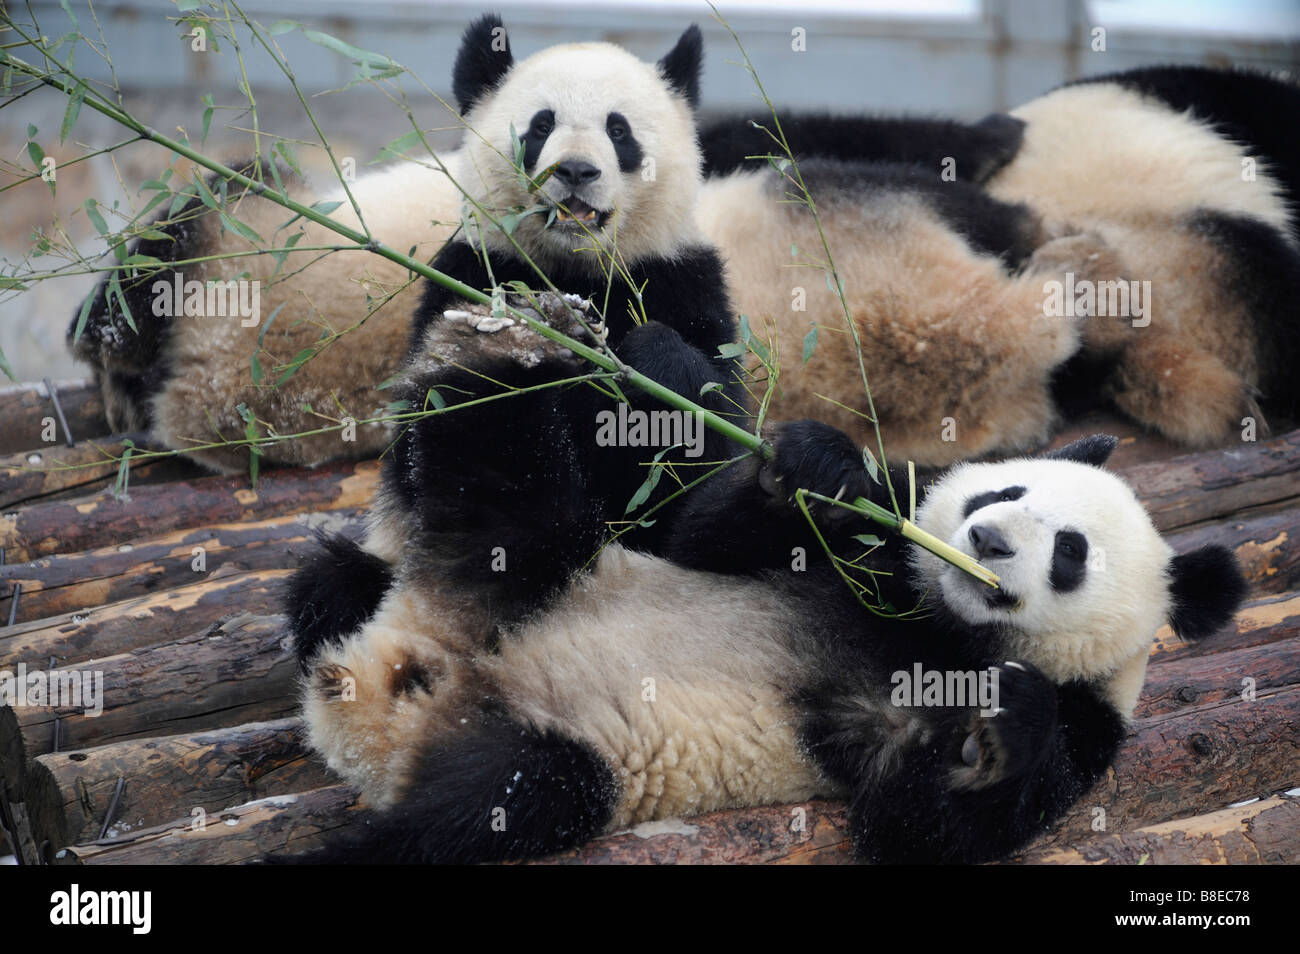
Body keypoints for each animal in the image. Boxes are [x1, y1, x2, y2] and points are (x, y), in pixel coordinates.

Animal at [282, 301, 1247, 864]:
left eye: (1071, 553)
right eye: (1003, 492)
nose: (985, 540)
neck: (943, 621)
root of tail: (406, 670)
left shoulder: (1088, 725)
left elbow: (926, 823)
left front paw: (1005, 721)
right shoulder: (875, 555)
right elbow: (712, 537)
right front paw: (815, 471)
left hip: (554, 753)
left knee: (481, 807)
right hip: (552, 568)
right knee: (510, 483)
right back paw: (502, 352)